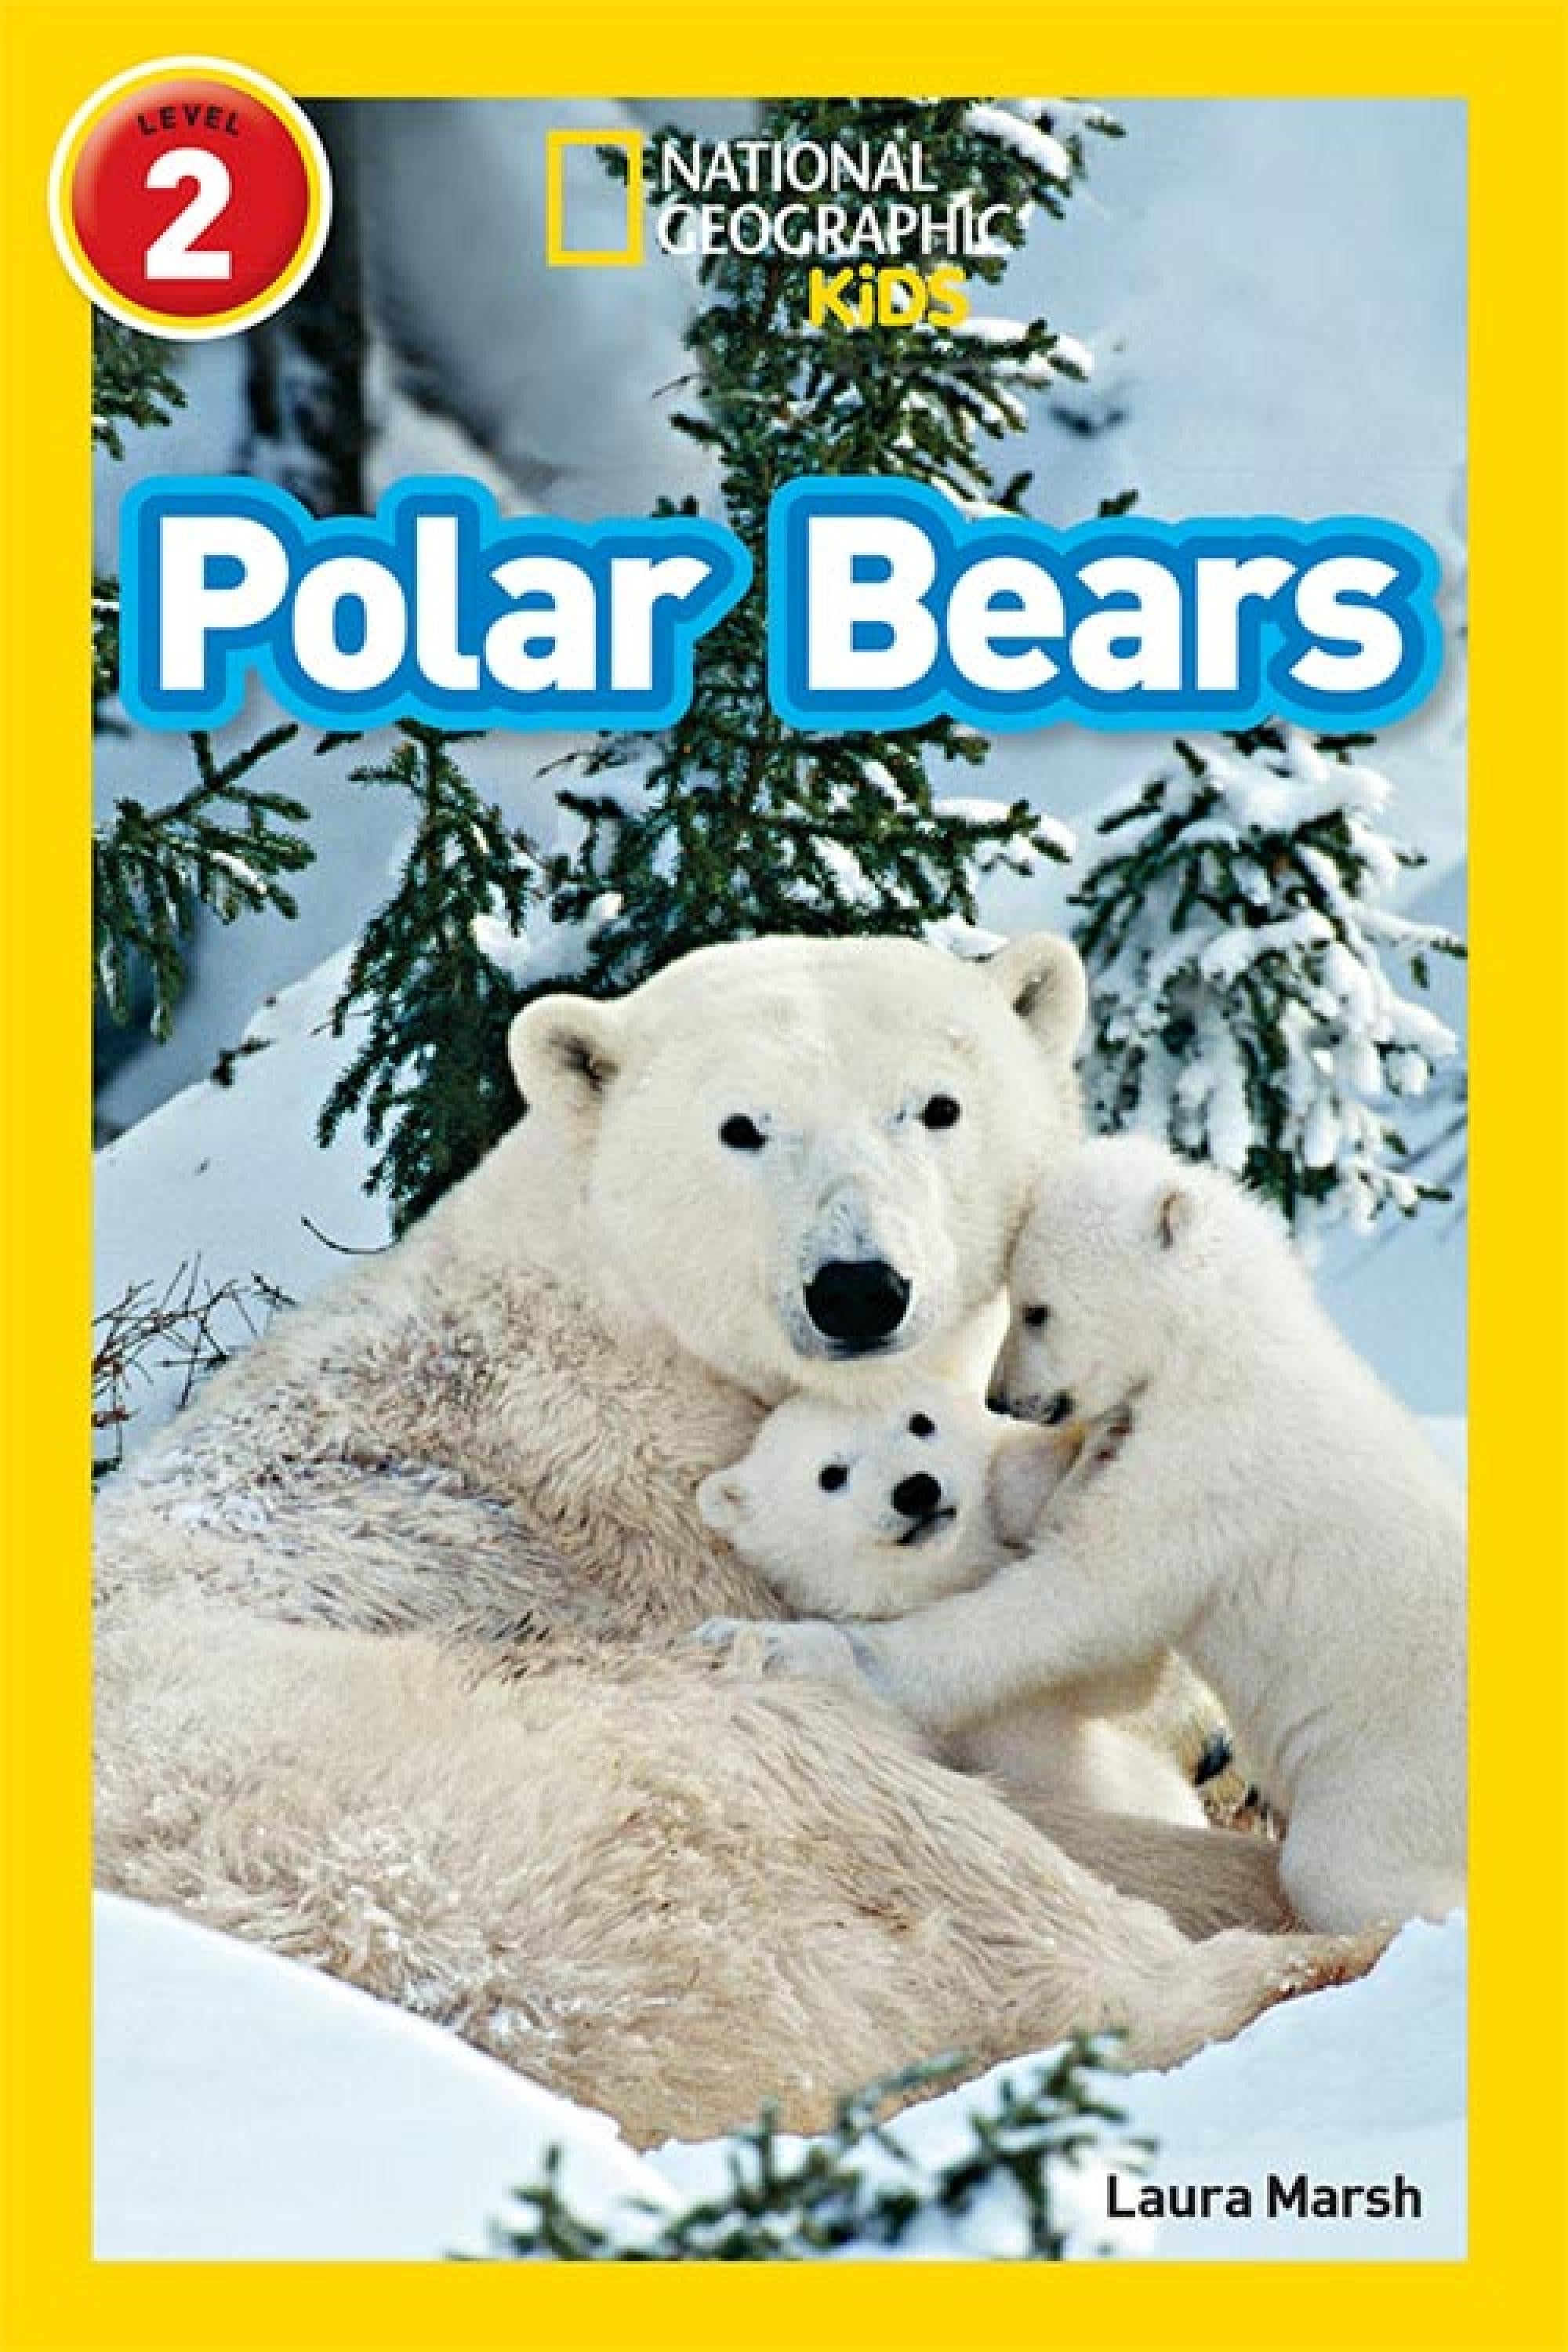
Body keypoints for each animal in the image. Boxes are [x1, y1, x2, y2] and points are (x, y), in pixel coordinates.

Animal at [96, 935, 1380, 2146]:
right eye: (742, 1128)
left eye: (937, 1104)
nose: (857, 1287)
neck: (629, 1336)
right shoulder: (670, 1531)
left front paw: (1214, 1746)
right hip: (496, 1809)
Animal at [713, 1134, 1465, 1938]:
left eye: (1036, 1309)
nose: (1001, 1398)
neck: (1222, 1348)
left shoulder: (1209, 1464)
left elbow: (1081, 1598)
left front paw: (781, 1643)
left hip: (1388, 1781)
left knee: (1342, 1872)